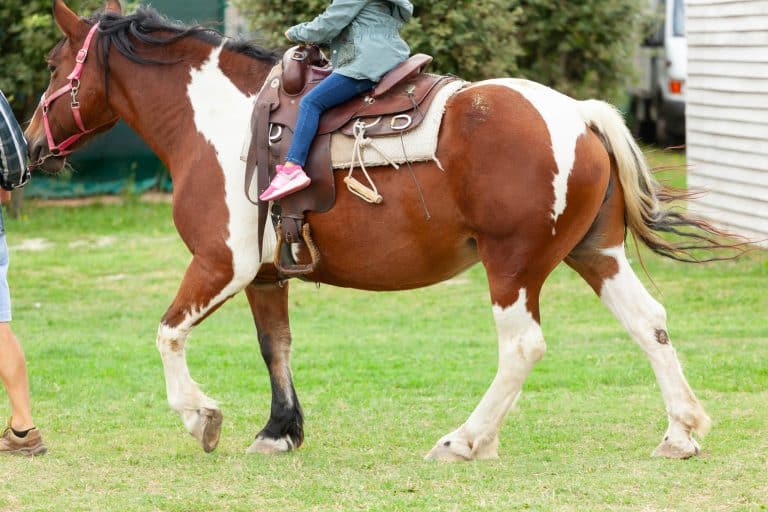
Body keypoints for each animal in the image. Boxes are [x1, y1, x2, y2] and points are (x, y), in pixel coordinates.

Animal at [26, 0, 736, 461]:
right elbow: (275, 347)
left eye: (55, 64)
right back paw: (680, 430)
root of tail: (581, 115)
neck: (222, 123)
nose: (29, 144)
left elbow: (168, 333)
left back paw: (466, 439)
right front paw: (280, 431)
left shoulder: (220, 263)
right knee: (648, 322)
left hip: (513, 266)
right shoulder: (264, 275)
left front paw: (202, 418)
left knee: (522, 346)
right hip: (596, 254)